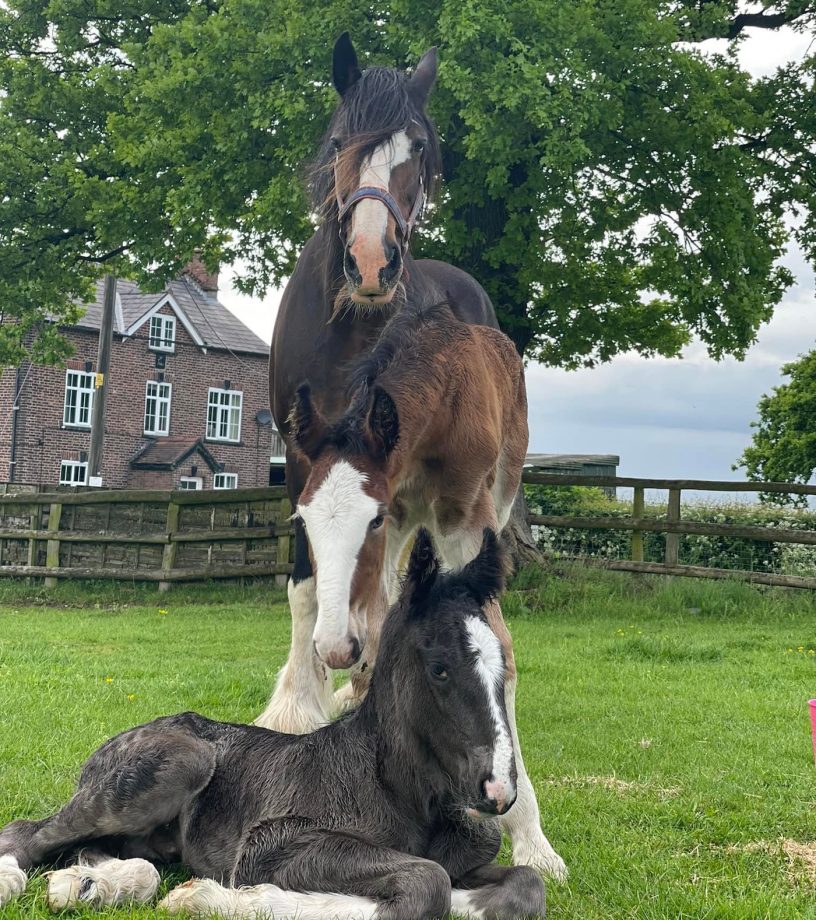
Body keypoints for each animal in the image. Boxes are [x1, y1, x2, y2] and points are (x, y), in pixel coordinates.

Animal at [0, 531, 546, 920]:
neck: (402, 794)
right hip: (173, 766)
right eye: (439, 668)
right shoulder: (272, 844)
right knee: (27, 835)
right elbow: (426, 883)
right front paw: (216, 899)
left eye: (504, 666)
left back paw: (91, 886)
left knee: (94, 852)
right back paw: (21, 882)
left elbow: (525, 887)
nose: (499, 791)